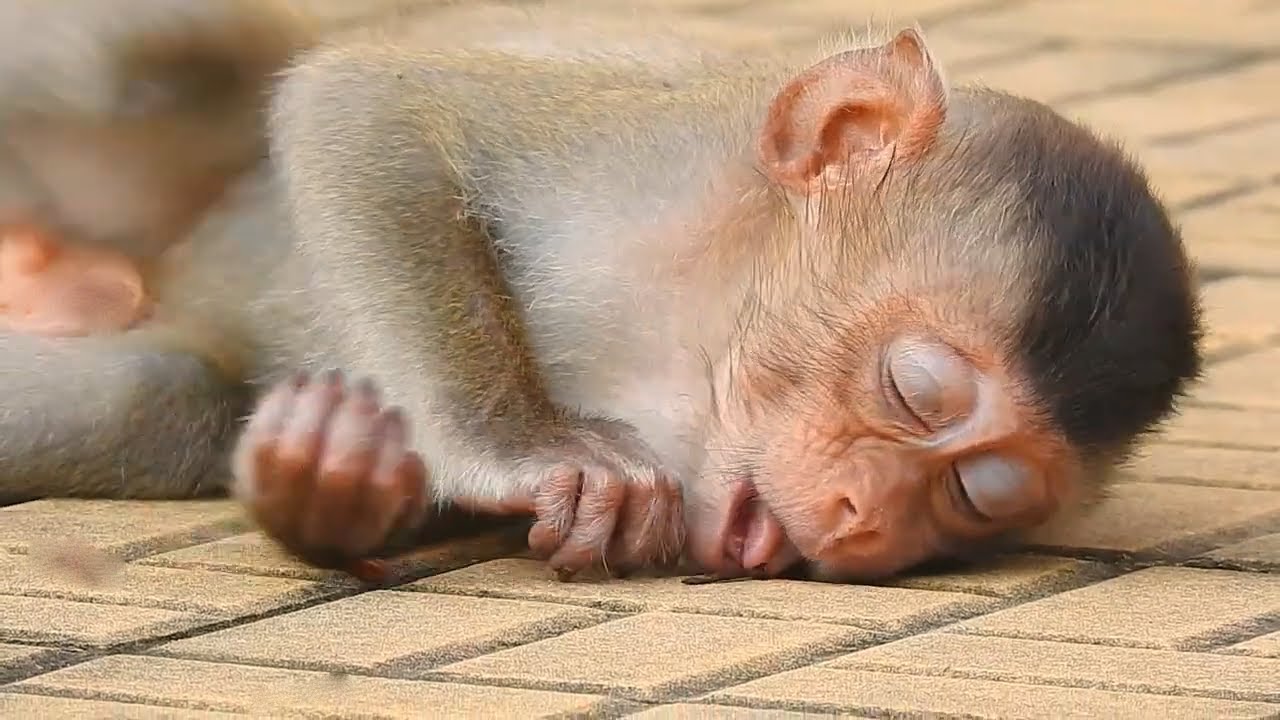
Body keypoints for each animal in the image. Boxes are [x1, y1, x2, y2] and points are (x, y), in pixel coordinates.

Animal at [0, 12, 1202, 583]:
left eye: (976, 498)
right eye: (913, 392)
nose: (867, 520)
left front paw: (328, 474)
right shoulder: (645, 160)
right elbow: (366, 103)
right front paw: (521, 449)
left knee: (154, 402)